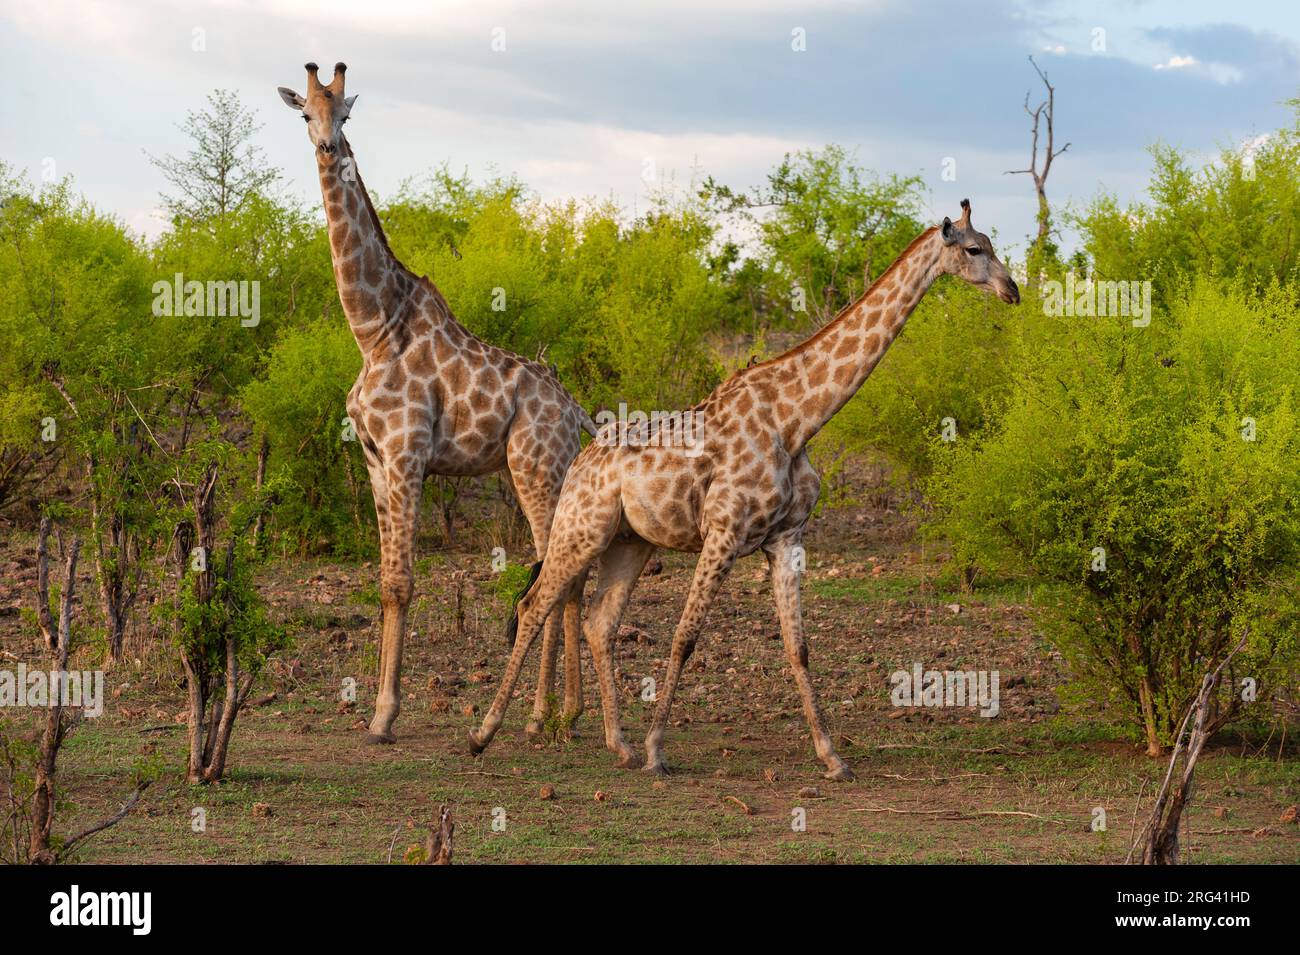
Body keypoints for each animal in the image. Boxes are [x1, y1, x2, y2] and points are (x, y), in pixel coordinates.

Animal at [277, 62, 595, 744]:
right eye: (306, 113)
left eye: (346, 112)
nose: (328, 148)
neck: (372, 328)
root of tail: (575, 410)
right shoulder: (375, 460)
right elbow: (383, 583)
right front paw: (378, 709)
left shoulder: (405, 455)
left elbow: (401, 583)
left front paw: (382, 717)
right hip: (543, 470)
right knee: (561, 572)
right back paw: (555, 712)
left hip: (535, 467)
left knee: (559, 574)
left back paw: (547, 714)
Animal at [468, 201, 1020, 779]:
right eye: (975, 249)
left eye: (991, 244)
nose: (1013, 290)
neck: (796, 421)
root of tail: (580, 459)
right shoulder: (723, 531)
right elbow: (686, 636)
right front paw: (657, 750)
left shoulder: (787, 539)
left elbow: (798, 646)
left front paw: (832, 756)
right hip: (582, 529)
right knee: (534, 605)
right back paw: (487, 734)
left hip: (630, 543)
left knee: (600, 622)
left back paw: (617, 744)